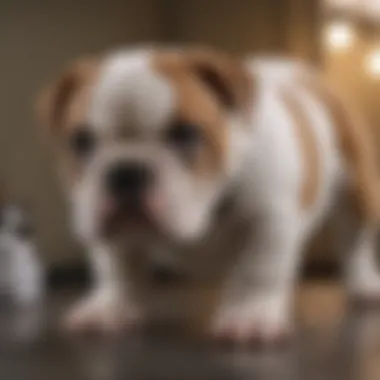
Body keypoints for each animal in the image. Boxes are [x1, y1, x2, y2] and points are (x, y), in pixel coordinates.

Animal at [36, 46, 380, 344]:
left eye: (186, 133)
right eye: (81, 140)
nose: (127, 172)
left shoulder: (270, 221)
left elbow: (259, 269)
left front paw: (250, 316)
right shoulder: (110, 233)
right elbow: (116, 268)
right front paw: (111, 307)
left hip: (359, 193)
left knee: (355, 241)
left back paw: (364, 285)